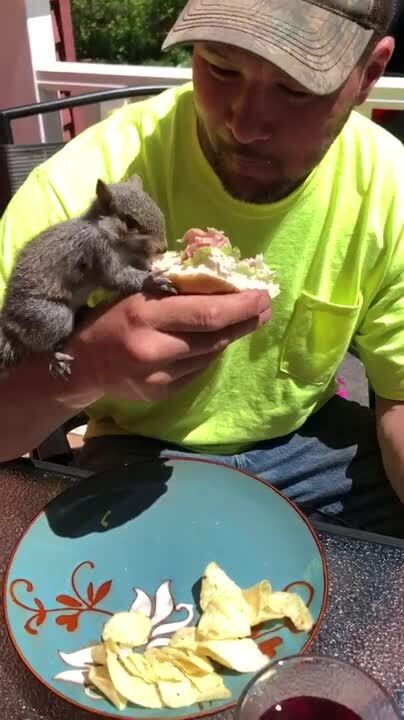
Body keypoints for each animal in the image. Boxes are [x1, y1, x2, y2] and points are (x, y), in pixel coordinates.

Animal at [0, 174, 173, 380]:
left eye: (157, 209)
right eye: (130, 222)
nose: (162, 249)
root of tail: (9, 326)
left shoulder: (134, 256)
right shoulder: (97, 250)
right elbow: (115, 277)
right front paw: (151, 281)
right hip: (49, 316)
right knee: (38, 343)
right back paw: (54, 356)